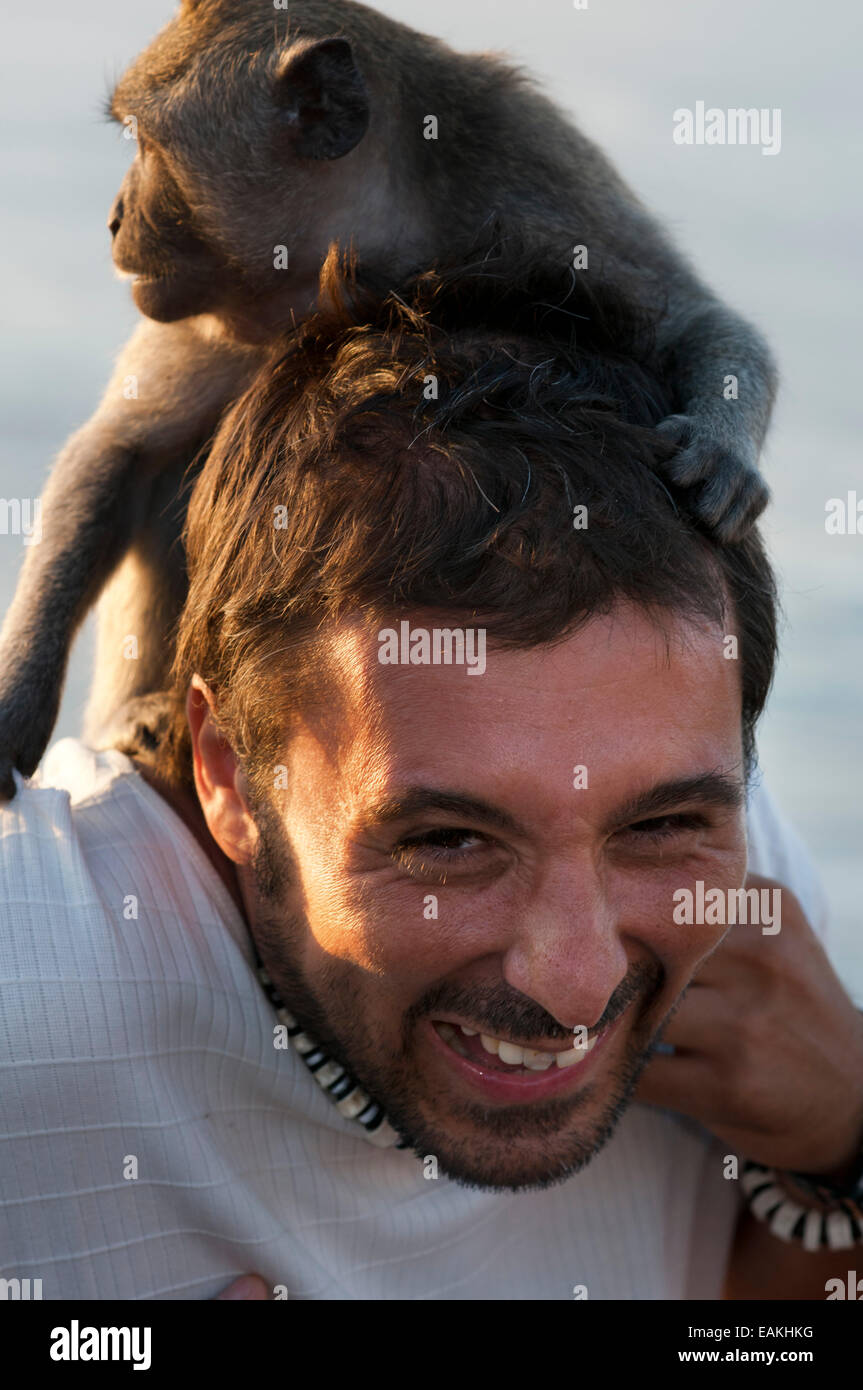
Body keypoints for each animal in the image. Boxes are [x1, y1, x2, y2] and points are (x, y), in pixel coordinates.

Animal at [0, 0, 777, 799]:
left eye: (148, 147)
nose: (115, 217)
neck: (380, 233)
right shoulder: (209, 313)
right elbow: (121, 452)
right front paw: (16, 702)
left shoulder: (535, 173)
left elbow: (697, 322)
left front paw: (721, 450)